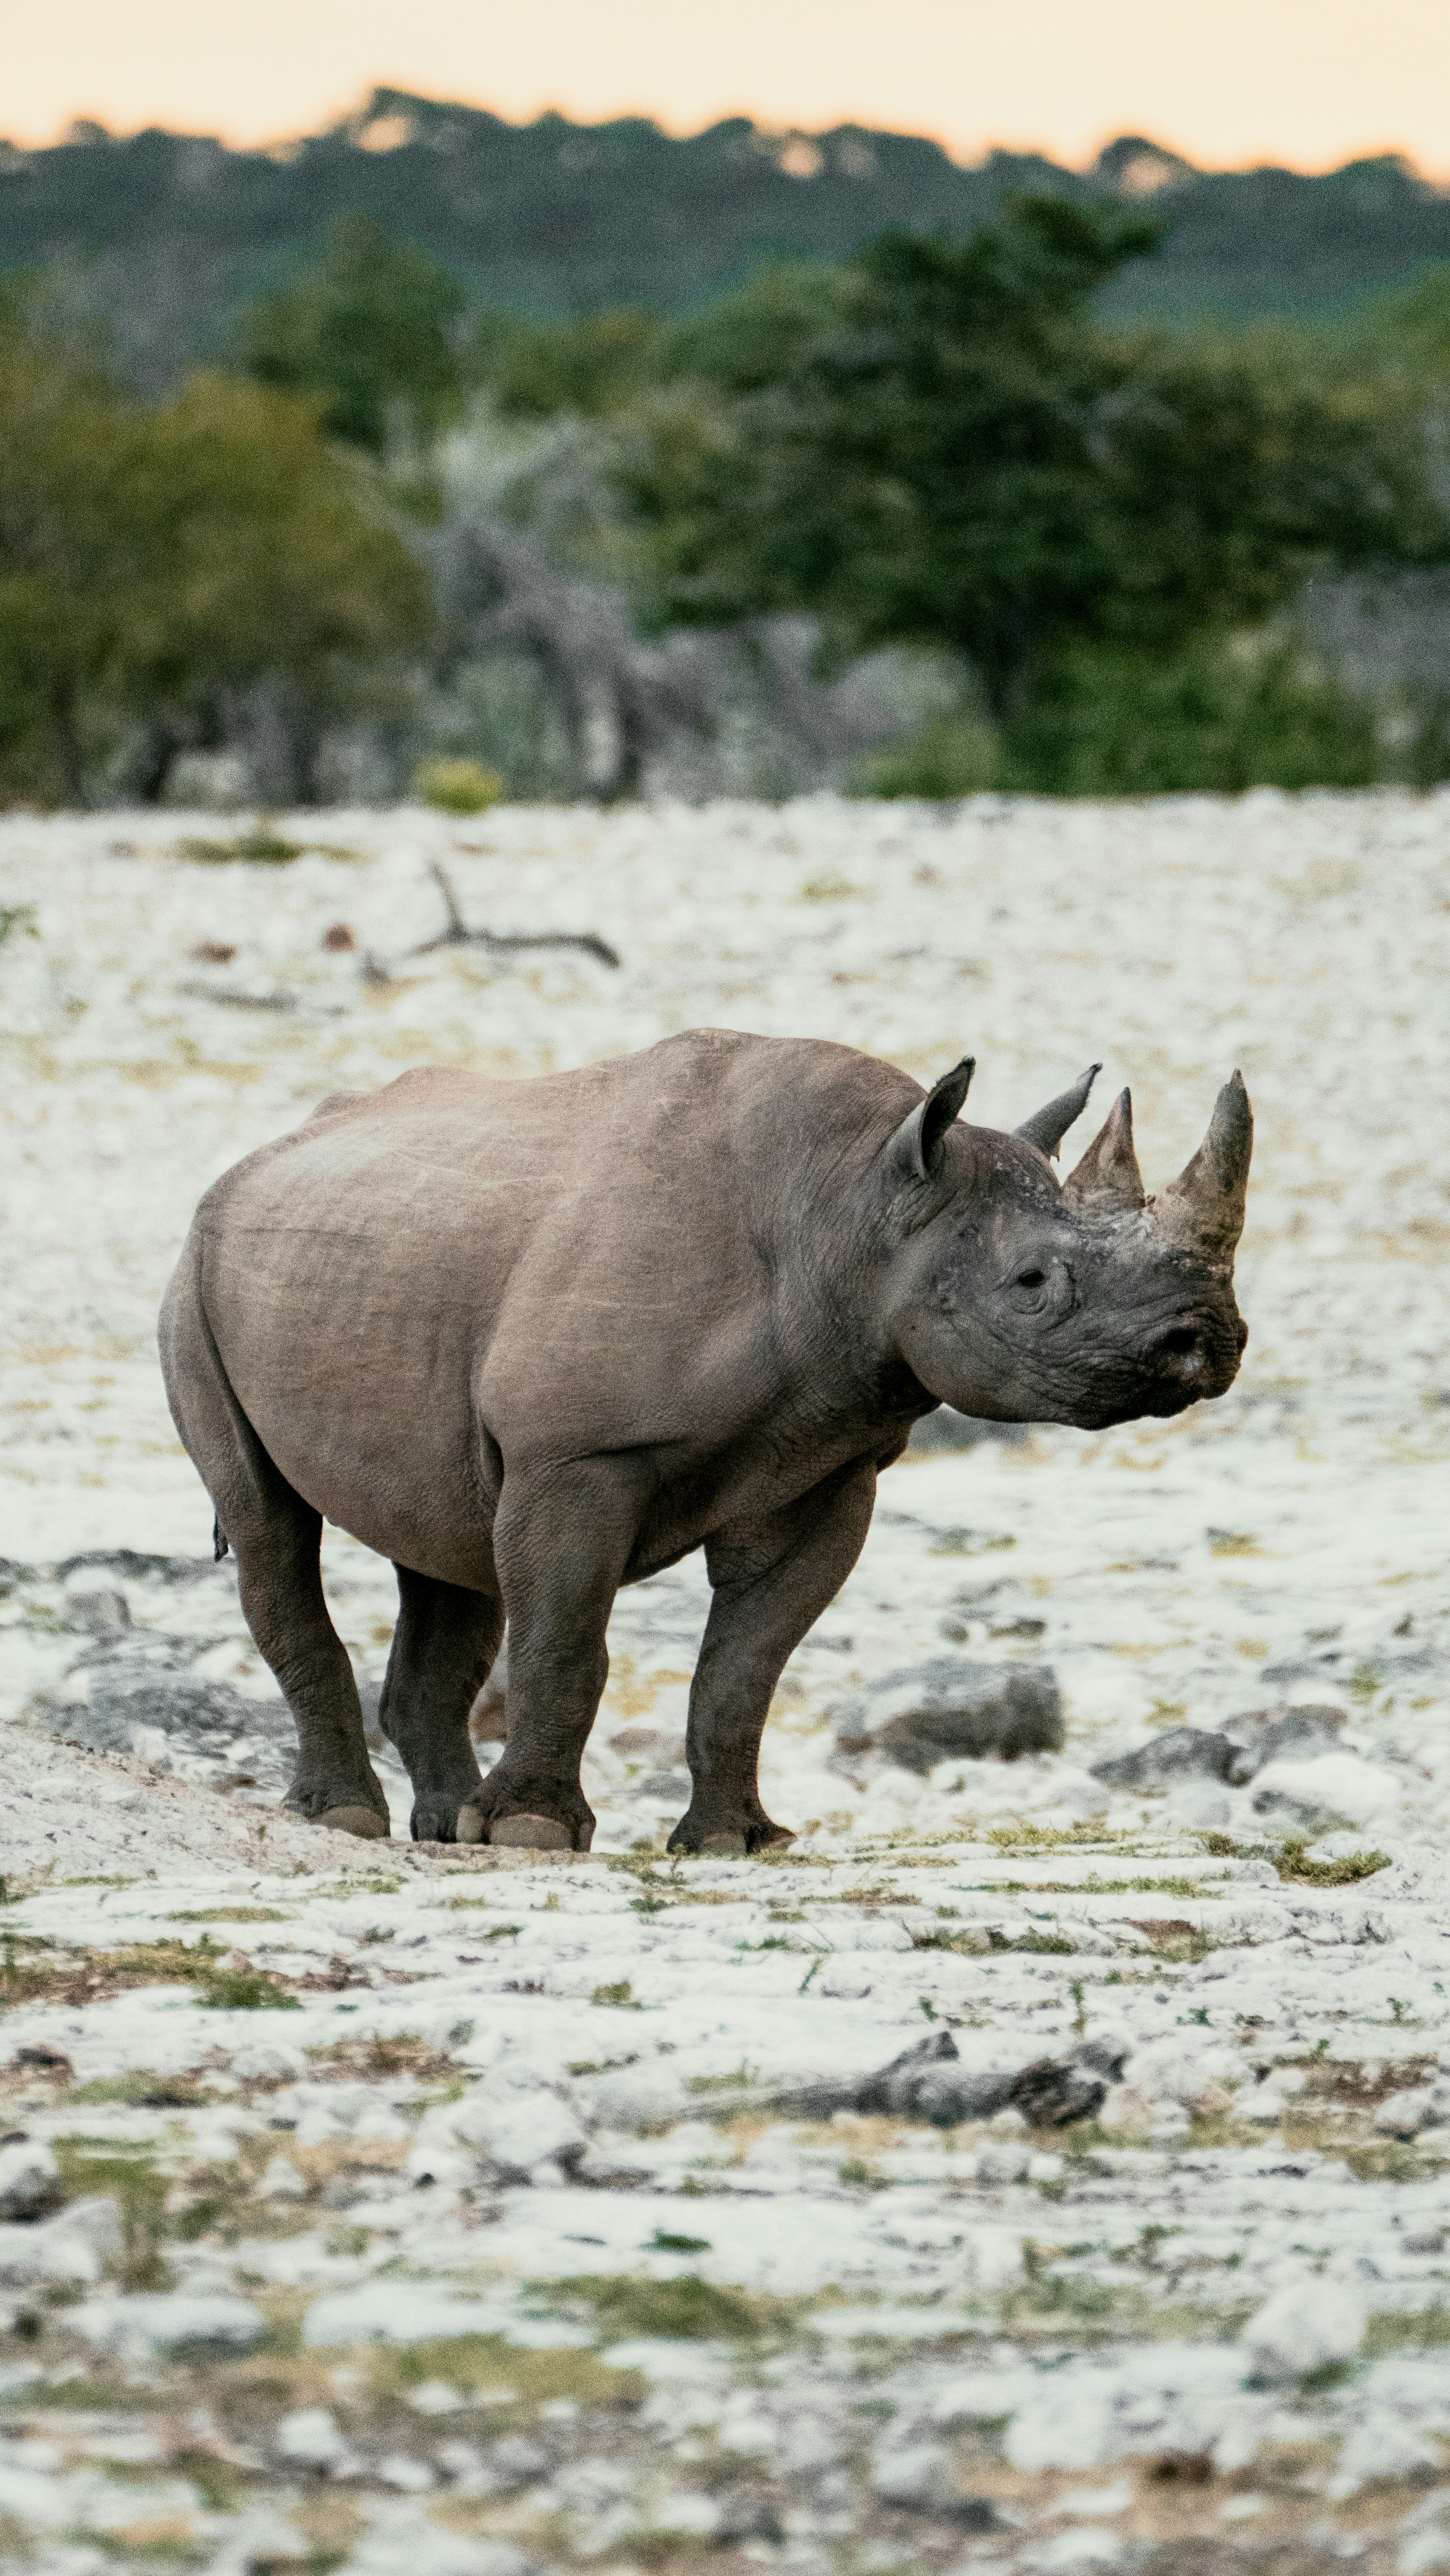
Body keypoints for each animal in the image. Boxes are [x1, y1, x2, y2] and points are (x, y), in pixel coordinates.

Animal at [159, 1031, 1251, 1854]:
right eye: (1030, 1283)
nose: (1201, 1338)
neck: (858, 1205)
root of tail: (266, 1151)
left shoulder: (831, 1464)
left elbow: (747, 1665)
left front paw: (735, 1840)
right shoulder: (576, 1457)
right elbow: (566, 1641)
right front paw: (531, 1833)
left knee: (444, 1550)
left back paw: (442, 1830)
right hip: (195, 1279)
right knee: (269, 1524)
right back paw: (348, 1821)